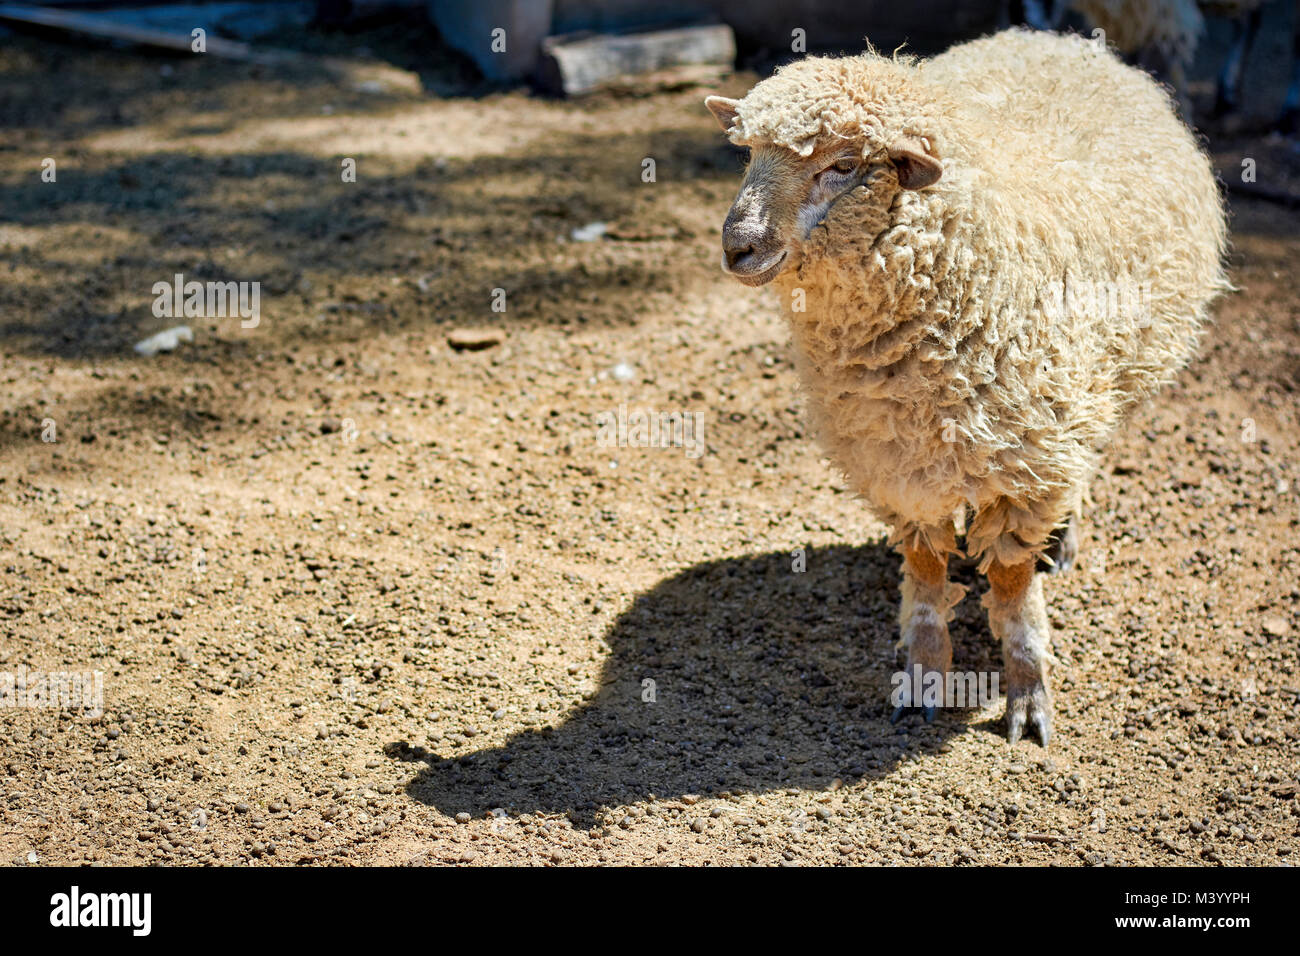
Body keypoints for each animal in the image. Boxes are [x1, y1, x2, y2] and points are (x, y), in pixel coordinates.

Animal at [704, 28, 1228, 745]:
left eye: (844, 165)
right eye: (749, 153)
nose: (738, 246)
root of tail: (1053, 38)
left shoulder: (1030, 458)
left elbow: (1010, 582)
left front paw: (1028, 691)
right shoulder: (896, 461)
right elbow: (925, 575)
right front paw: (924, 676)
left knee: (1083, 458)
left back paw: (1064, 539)